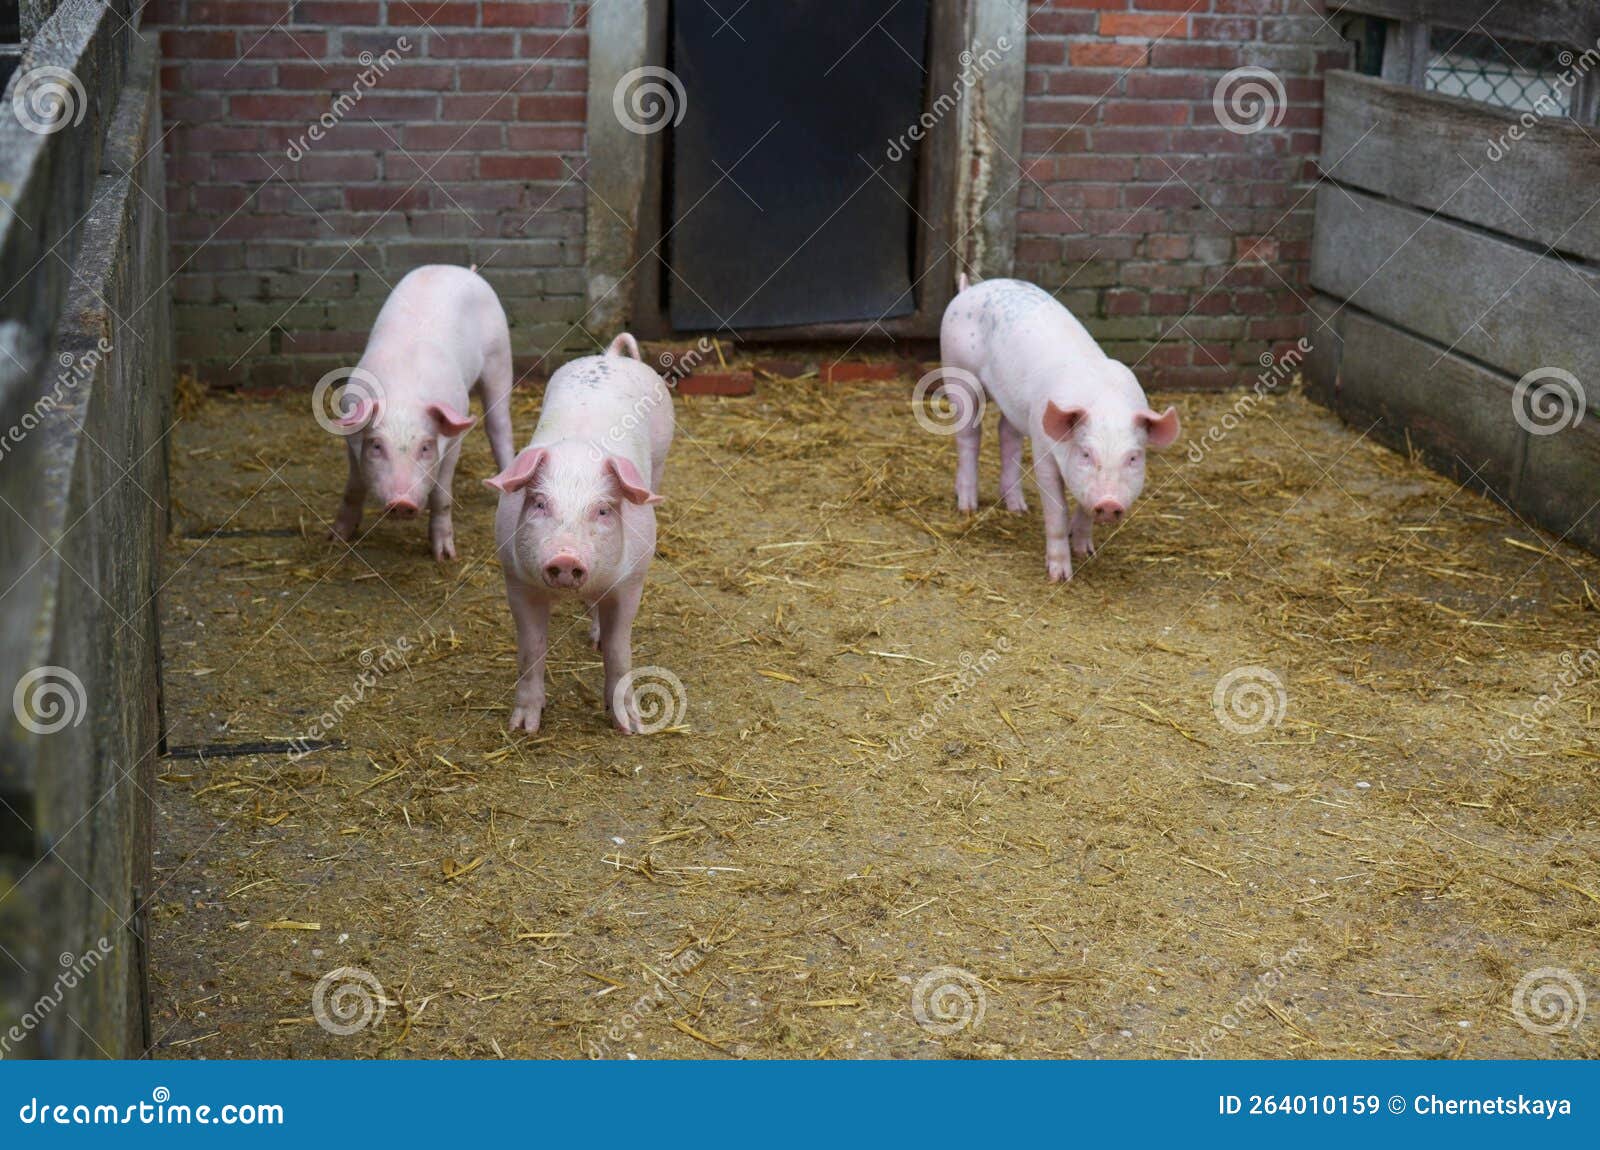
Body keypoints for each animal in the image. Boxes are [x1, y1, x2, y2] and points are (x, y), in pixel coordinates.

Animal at [327, 264, 515, 561]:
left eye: (426, 447)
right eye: (377, 446)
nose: (402, 502)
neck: (403, 398)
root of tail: (460, 269)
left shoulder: (453, 441)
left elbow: (441, 495)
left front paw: (445, 557)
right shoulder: (351, 439)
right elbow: (354, 488)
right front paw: (335, 540)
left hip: (500, 358)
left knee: (499, 427)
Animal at [485, 333, 673, 734]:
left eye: (602, 510)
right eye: (540, 503)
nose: (566, 557)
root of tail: (610, 358)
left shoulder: (631, 580)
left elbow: (619, 651)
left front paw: (629, 727)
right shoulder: (516, 580)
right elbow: (531, 650)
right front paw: (523, 728)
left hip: (662, 456)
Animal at [939, 274, 1180, 582]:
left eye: (1133, 458)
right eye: (1086, 453)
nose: (1110, 502)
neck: (1106, 403)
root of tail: (971, 289)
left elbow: (1084, 509)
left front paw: (1086, 552)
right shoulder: (1043, 449)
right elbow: (1057, 511)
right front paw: (1060, 576)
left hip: (1018, 406)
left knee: (1006, 432)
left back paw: (1018, 509)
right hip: (958, 370)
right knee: (969, 435)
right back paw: (968, 507)